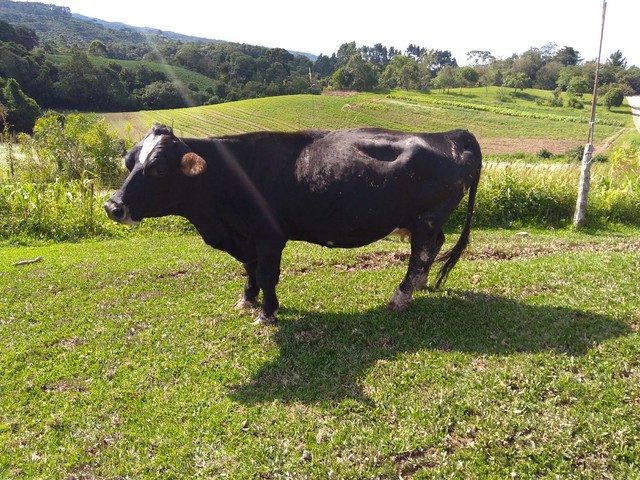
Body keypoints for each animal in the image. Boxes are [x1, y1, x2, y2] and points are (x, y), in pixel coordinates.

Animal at [105, 124, 482, 324]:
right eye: (129, 162)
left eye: (158, 169)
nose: (112, 206)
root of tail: (450, 134)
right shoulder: (245, 238)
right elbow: (250, 271)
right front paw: (247, 300)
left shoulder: (270, 236)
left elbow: (267, 274)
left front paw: (267, 313)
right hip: (427, 221)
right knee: (433, 247)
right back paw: (419, 287)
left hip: (426, 218)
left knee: (420, 255)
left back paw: (401, 297)